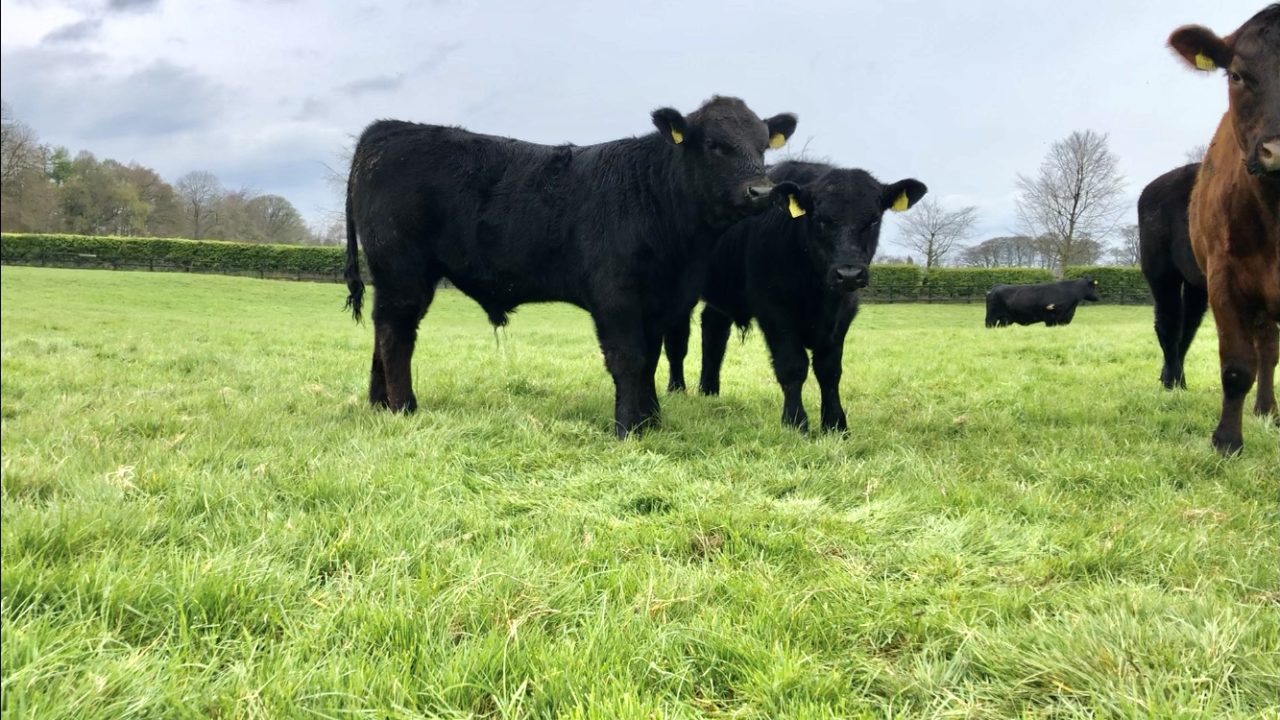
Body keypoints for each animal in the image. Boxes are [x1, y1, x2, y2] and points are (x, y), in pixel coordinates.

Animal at [342, 96, 799, 438]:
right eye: (714, 144)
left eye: (762, 146)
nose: (762, 191)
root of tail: (386, 130)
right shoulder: (616, 296)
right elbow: (628, 358)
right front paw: (628, 428)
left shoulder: (661, 301)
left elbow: (650, 359)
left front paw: (651, 420)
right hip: (404, 271)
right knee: (396, 335)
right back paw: (404, 407)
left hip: (397, 278)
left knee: (383, 332)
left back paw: (379, 403)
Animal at [662, 161, 927, 432]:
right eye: (820, 219)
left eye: (873, 220)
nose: (849, 274)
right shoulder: (774, 310)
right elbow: (792, 365)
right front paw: (796, 422)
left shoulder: (843, 314)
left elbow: (829, 370)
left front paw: (836, 424)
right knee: (677, 343)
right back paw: (677, 389)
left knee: (713, 335)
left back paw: (709, 392)